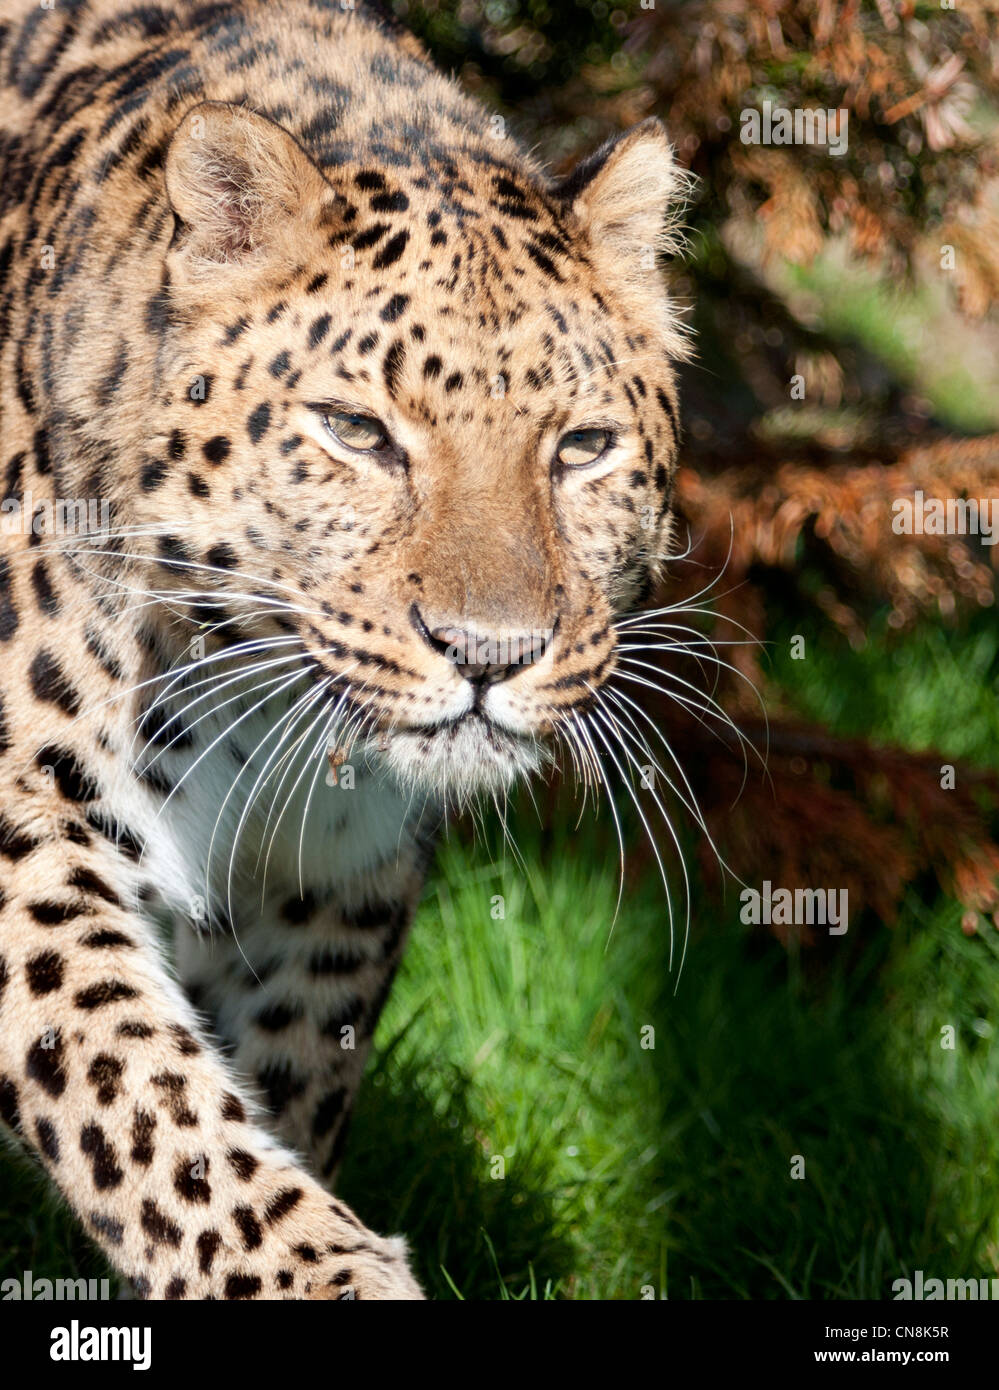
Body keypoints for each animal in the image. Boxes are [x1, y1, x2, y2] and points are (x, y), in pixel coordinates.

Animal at [0, 0, 686, 1299]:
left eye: (581, 448)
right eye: (358, 432)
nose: (491, 653)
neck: (256, 708)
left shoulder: (341, 883)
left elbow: (287, 1067)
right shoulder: (27, 817)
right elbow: (141, 1090)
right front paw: (319, 1271)